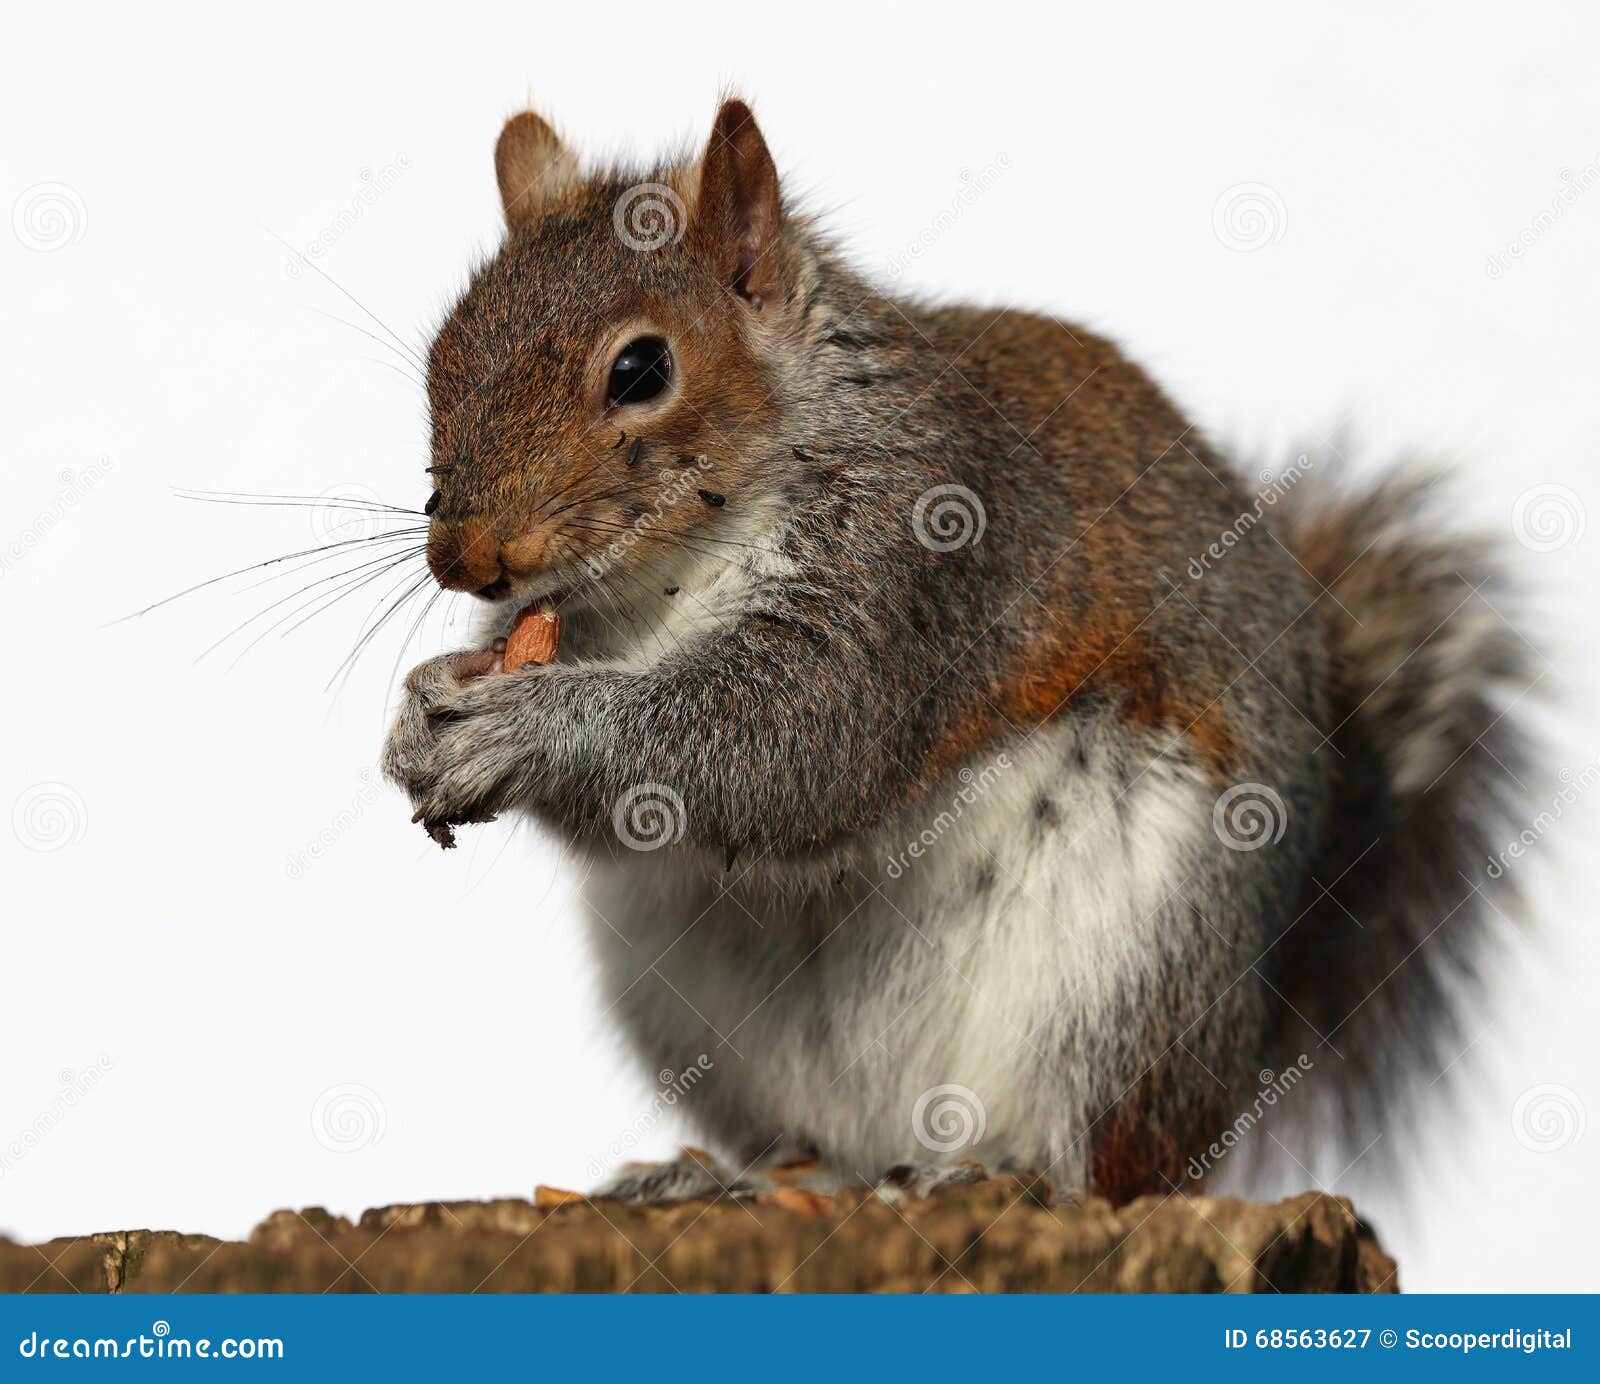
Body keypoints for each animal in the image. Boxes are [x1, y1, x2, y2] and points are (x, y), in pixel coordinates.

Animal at [383, 99, 1529, 1204]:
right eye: (445, 352)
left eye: (640, 367)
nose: (464, 558)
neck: (665, 580)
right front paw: (421, 713)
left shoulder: (924, 561)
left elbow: (792, 747)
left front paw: (525, 728)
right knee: (826, 1146)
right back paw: (739, 1178)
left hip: (1135, 978)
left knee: (1110, 1163)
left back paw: (1005, 1174)